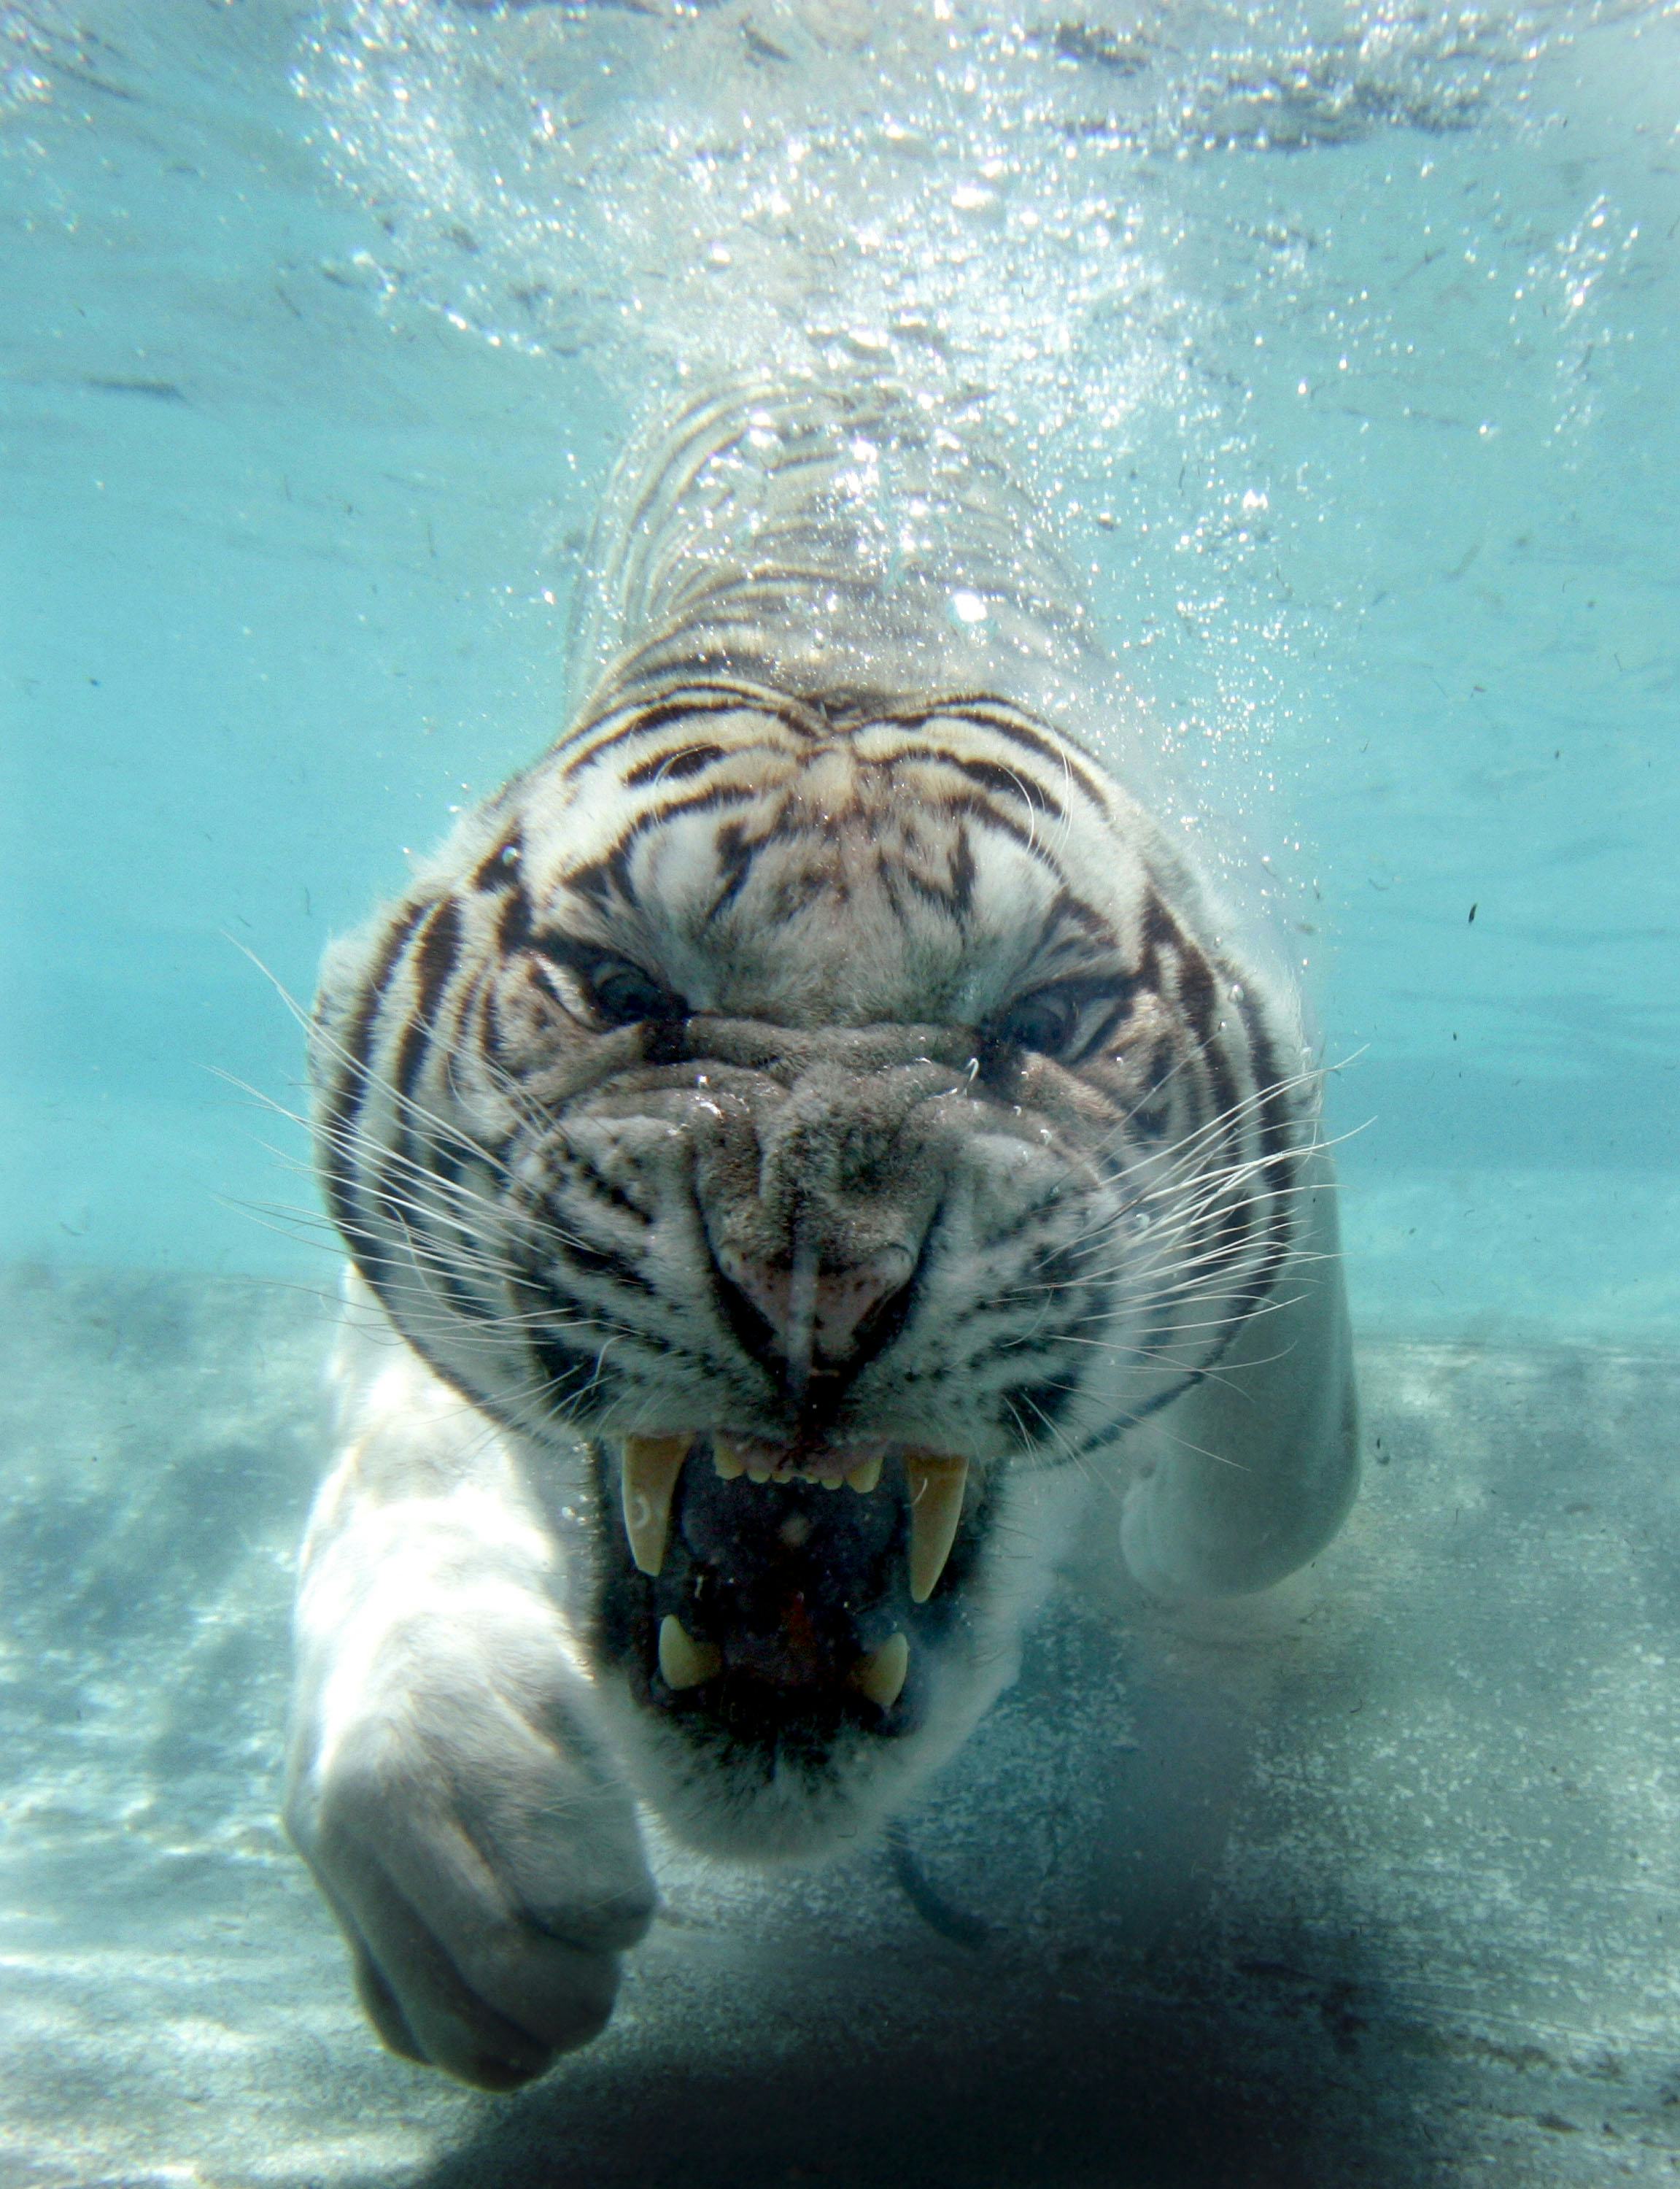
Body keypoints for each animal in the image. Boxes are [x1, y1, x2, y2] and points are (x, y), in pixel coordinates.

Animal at [282, 378, 1359, 2090]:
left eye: (1040, 1021)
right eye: (614, 988)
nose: (810, 1284)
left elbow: (1265, 1499)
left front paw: (1170, 1571)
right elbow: (402, 1476)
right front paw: (457, 1868)